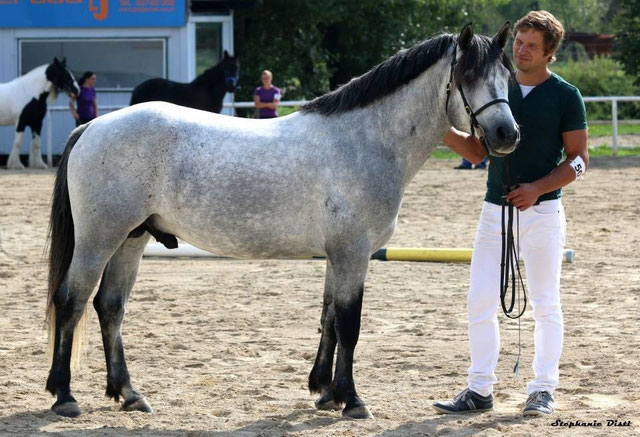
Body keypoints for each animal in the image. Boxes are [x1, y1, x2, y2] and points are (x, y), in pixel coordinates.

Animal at [45, 23, 519, 419]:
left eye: (506, 76)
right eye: (467, 77)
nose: (507, 135)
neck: (364, 140)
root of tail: (92, 127)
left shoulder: (338, 256)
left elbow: (329, 318)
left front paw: (326, 392)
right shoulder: (353, 253)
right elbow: (349, 324)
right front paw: (352, 400)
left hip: (130, 239)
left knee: (110, 307)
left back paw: (128, 393)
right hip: (99, 240)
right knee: (71, 301)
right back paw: (65, 396)